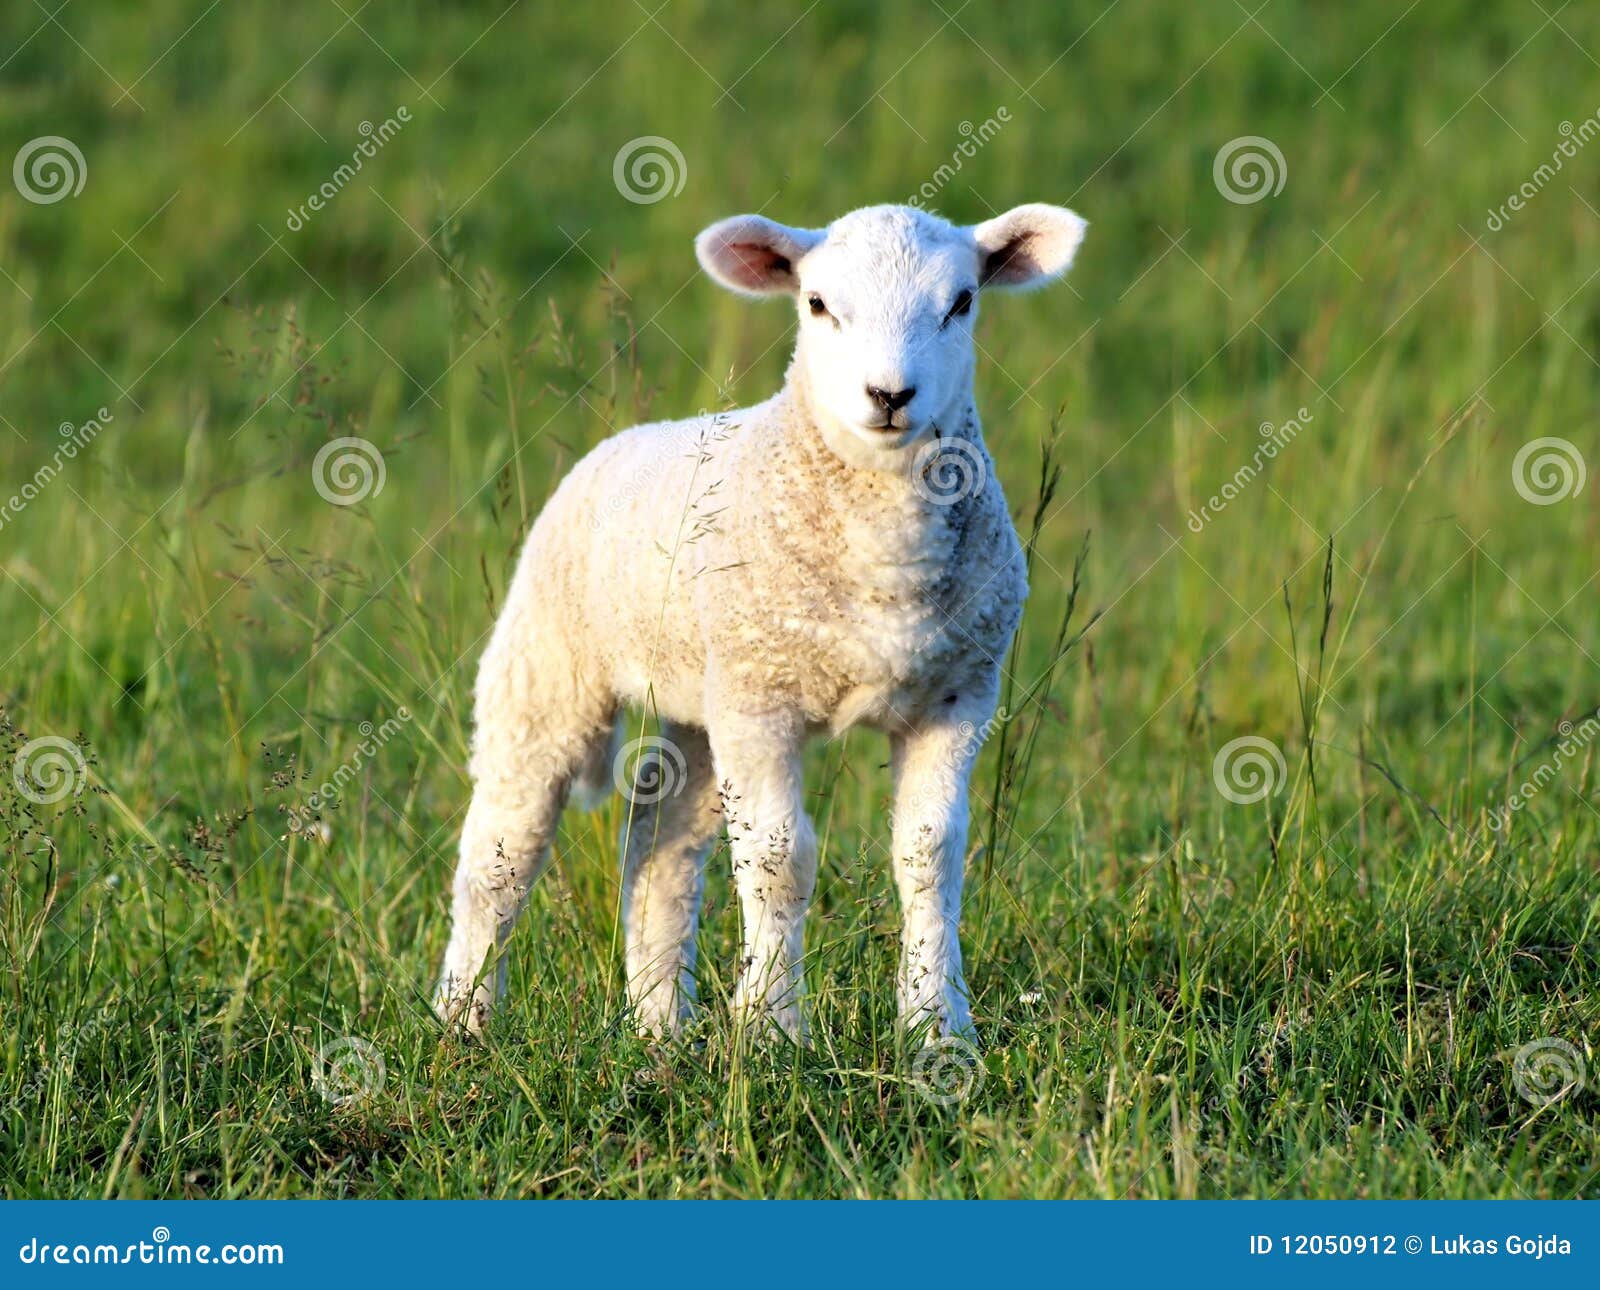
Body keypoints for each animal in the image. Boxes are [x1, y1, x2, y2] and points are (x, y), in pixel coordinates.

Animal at [435, 201, 1087, 1044]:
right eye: (816, 304)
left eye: (963, 302)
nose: (890, 394)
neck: (888, 565)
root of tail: (622, 440)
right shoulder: (763, 700)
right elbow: (780, 862)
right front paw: (774, 1030)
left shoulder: (958, 695)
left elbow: (929, 857)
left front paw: (938, 1028)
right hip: (550, 664)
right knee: (500, 854)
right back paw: (463, 1020)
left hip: (701, 695)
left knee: (660, 848)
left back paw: (658, 1026)